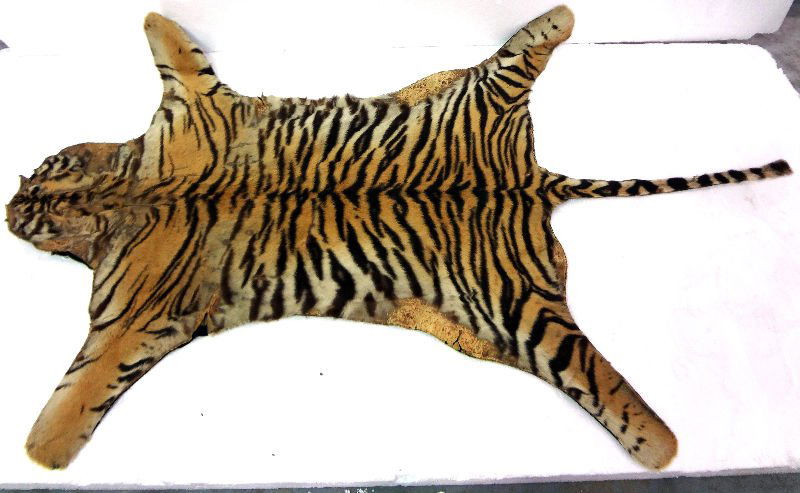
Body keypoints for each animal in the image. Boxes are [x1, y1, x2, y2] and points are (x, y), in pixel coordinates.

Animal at [5, 5, 792, 471]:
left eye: (39, 182)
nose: (10, 207)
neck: (126, 192)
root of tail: (532, 181)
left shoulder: (134, 305)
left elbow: (82, 387)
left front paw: (42, 450)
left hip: (526, 307)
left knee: (600, 380)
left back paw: (658, 445)